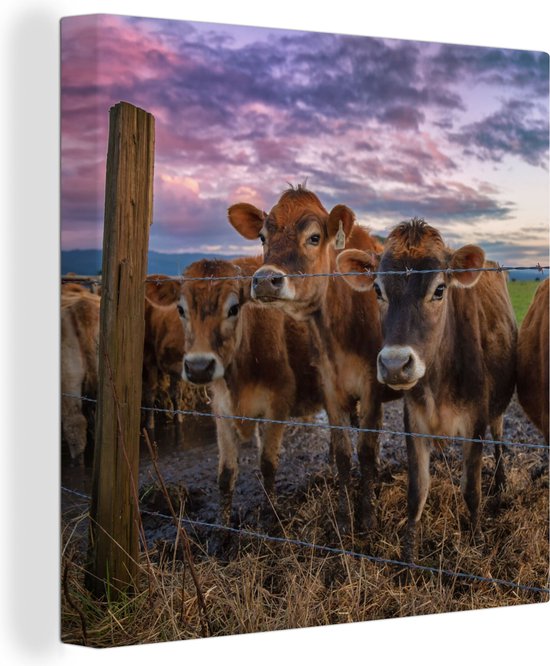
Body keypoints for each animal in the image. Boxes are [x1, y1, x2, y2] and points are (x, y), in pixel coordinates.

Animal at [145, 256, 324, 527]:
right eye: (181, 310)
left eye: (233, 309)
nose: (199, 367)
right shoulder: (221, 410)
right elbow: (226, 474)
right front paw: (223, 526)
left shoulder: (278, 403)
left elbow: (268, 463)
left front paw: (273, 513)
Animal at [228, 185, 399, 534]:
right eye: (262, 236)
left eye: (314, 237)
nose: (265, 280)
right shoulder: (330, 386)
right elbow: (346, 453)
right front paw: (345, 519)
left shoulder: (372, 387)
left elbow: (367, 451)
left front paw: (368, 517)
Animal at [336, 218, 517, 559]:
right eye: (377, 289)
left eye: (440, 289)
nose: (395, 364)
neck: (438, 383)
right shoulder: (415, 421)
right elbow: (416, 491)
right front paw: (409, 555)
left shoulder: (474, 422)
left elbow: (471, 491)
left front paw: (477, 542)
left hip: (496, 407)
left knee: (499, 439)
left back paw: (500, 484)